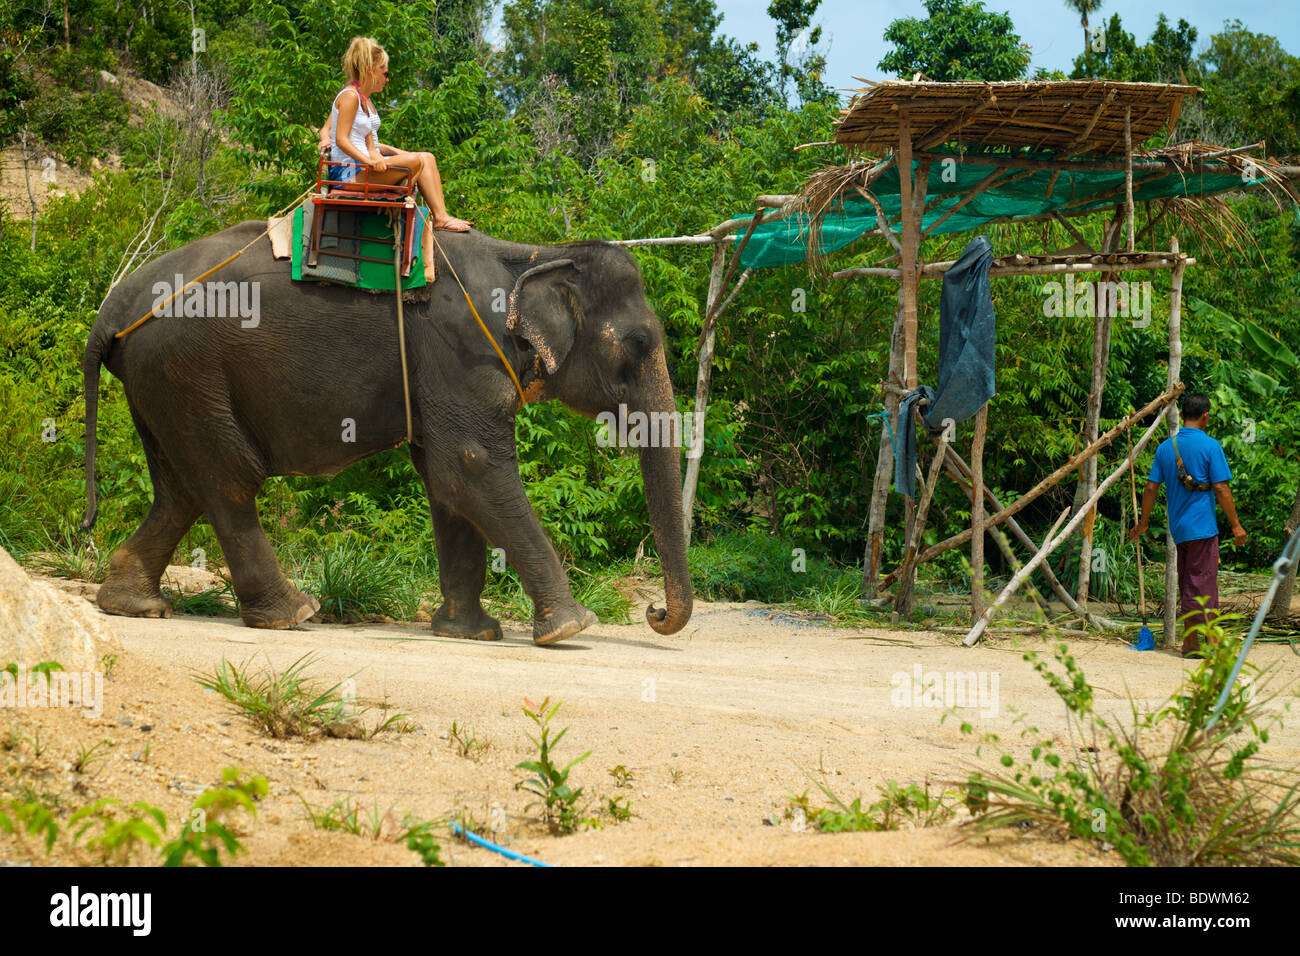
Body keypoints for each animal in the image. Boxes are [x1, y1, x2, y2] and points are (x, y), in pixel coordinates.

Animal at [78, 221, 691, 647]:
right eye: (639, 343)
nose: (654, 613)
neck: (535, 253)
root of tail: (113, 308)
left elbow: (446, 481)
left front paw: (469, 633)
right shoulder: (456, 351)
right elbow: (468, 465)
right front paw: (570, 628)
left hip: (160, 379)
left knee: (180, 486)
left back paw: (134, 605)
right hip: (185, 367)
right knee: (229, 481)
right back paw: (294, 615)